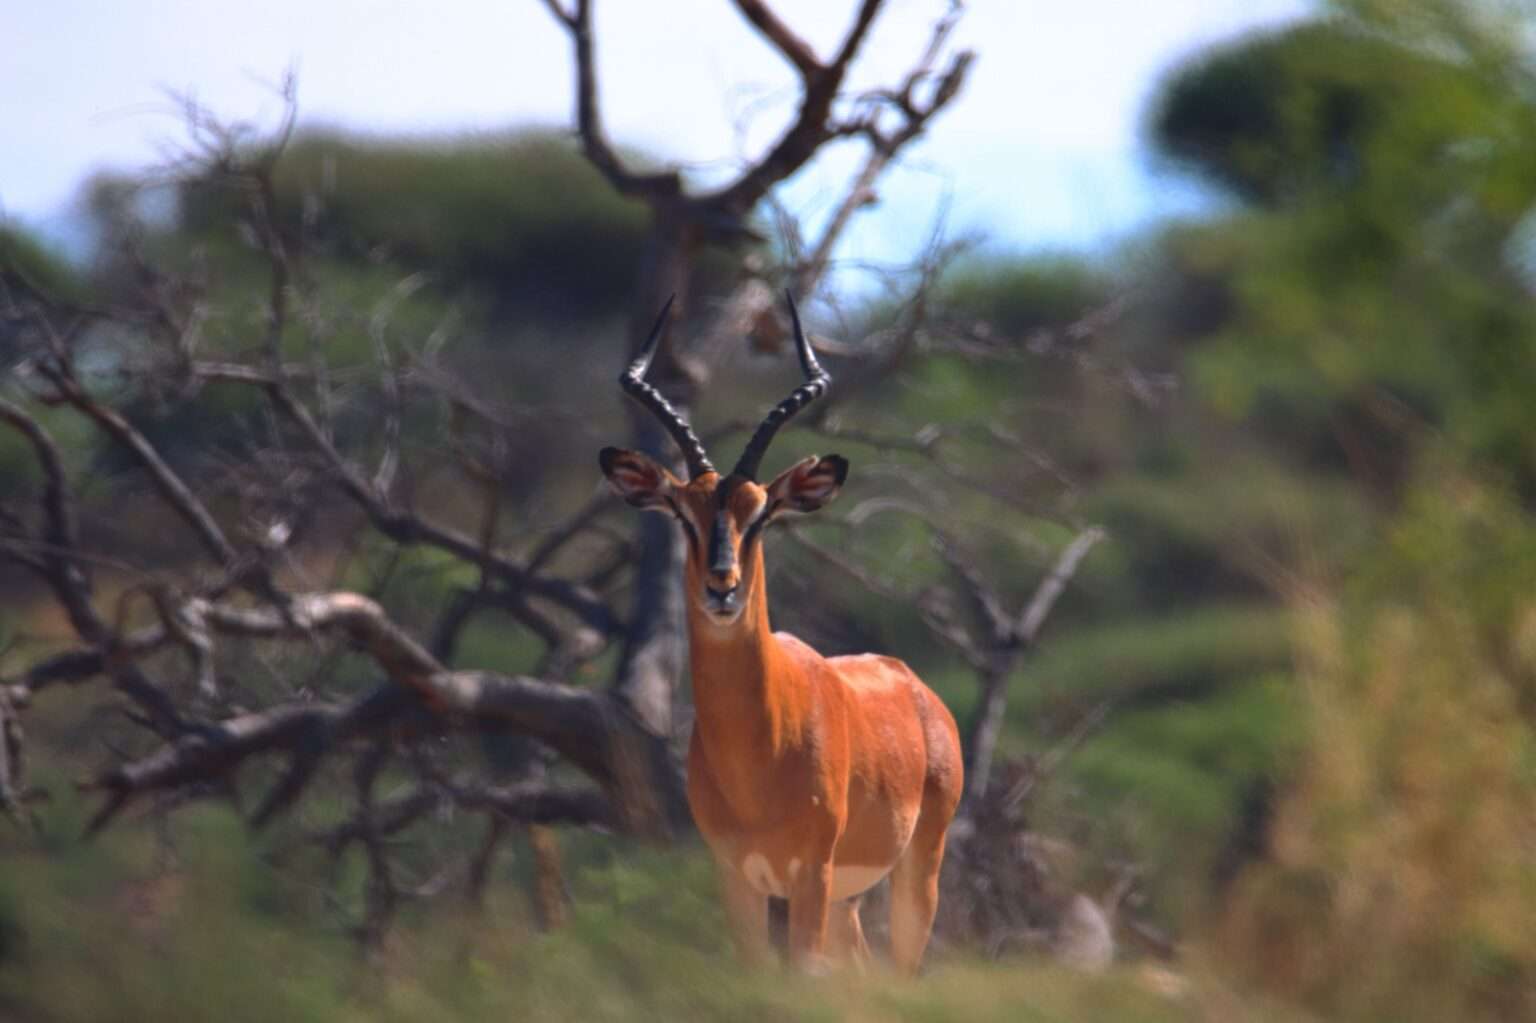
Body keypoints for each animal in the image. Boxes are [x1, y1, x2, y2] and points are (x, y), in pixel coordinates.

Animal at [600, 294, 963, 975]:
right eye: (683, 513)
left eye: (761, 514)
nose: (722, 586)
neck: (758, 759)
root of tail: (916, 688)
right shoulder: (737, 878)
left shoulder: (809, 875)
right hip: (849, 902)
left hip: (914, 876)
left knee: (903, 970)